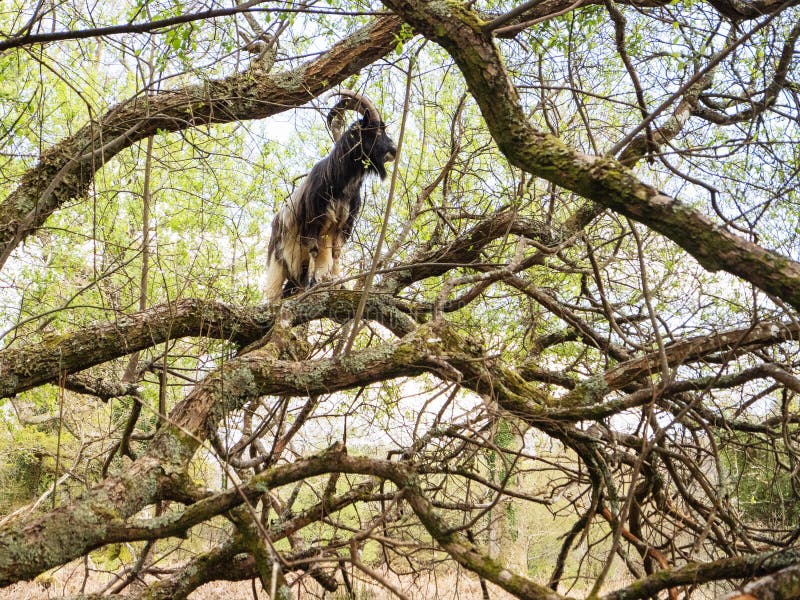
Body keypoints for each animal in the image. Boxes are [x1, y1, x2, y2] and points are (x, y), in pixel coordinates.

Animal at [264, 90, 397, 300]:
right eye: (376, 130)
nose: (394, 150)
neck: (340, 181)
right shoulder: (314, 221)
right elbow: (314, 250)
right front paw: (312, 284)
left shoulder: (344, 224)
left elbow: (336, 253)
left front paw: (338, 283)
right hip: (280, 261)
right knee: (276, 289)